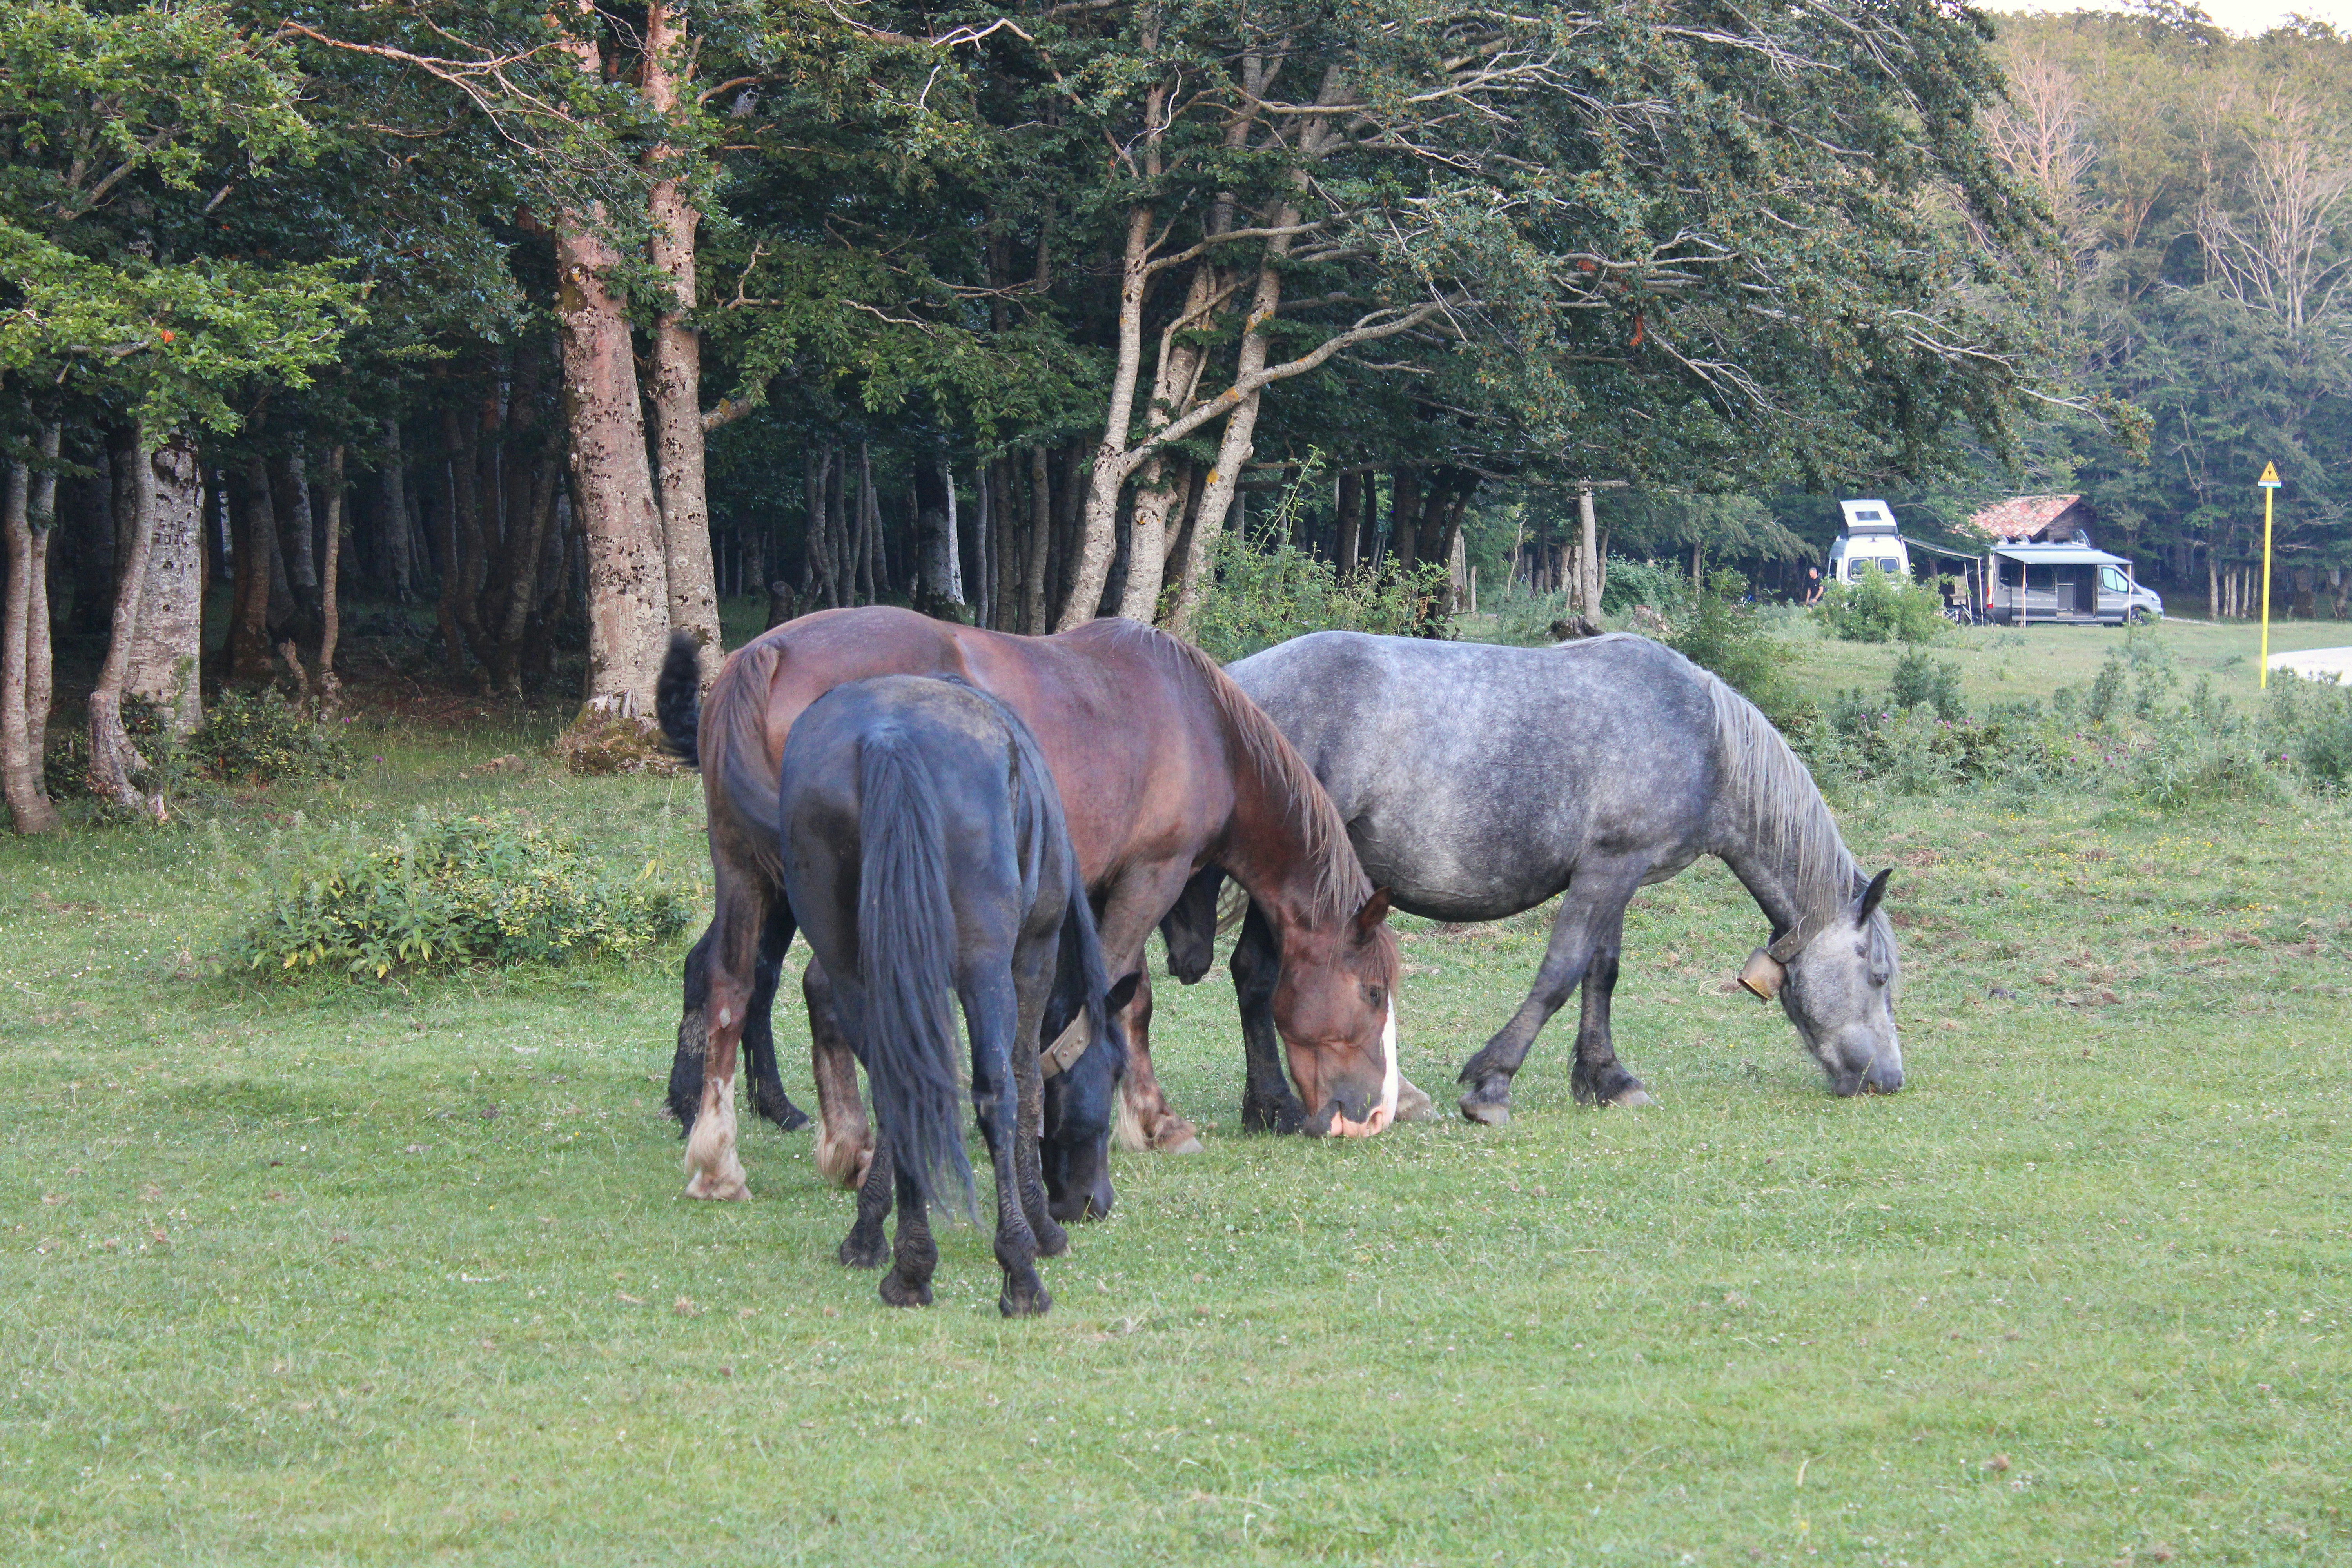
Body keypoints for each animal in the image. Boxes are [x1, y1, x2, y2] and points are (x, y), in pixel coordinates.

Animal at [659, 608, 1403, 1212]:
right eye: (1372, 993)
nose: (1366, 1114)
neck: (1203, 726)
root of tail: (769, 653)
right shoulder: (1149, 876)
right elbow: (1125, 1002)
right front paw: (1153, 1121)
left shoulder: (1099, 887)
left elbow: (1107, 1002)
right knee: (824, 992)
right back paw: (856, 1145)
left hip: (747, 875)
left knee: (730, 987)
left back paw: (718, 1162)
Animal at [762, 674, 1133, 1314]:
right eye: (1114, 1072)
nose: (1094, 1203)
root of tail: (889, 737)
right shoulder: (1032, 958)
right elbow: (1028, 1085)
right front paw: (1041, 1229)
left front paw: (867, 1234)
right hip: (987, 967)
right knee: (997, 1094)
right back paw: (1020, 1272)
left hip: (852, 969)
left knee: (896, 1091)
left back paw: (910, 1268)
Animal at [1196, 631, 1902, 1126]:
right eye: (1878, 977)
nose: (1889, 1080)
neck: (1706, 741)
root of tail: (1232, 684)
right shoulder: (1608, 870)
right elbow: (1560, 974)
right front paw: (1492, 1085)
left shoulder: (1618, 871)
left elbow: (1600, 975)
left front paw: (1608, 1079)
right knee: (1258, 975)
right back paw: (1278, 1108)